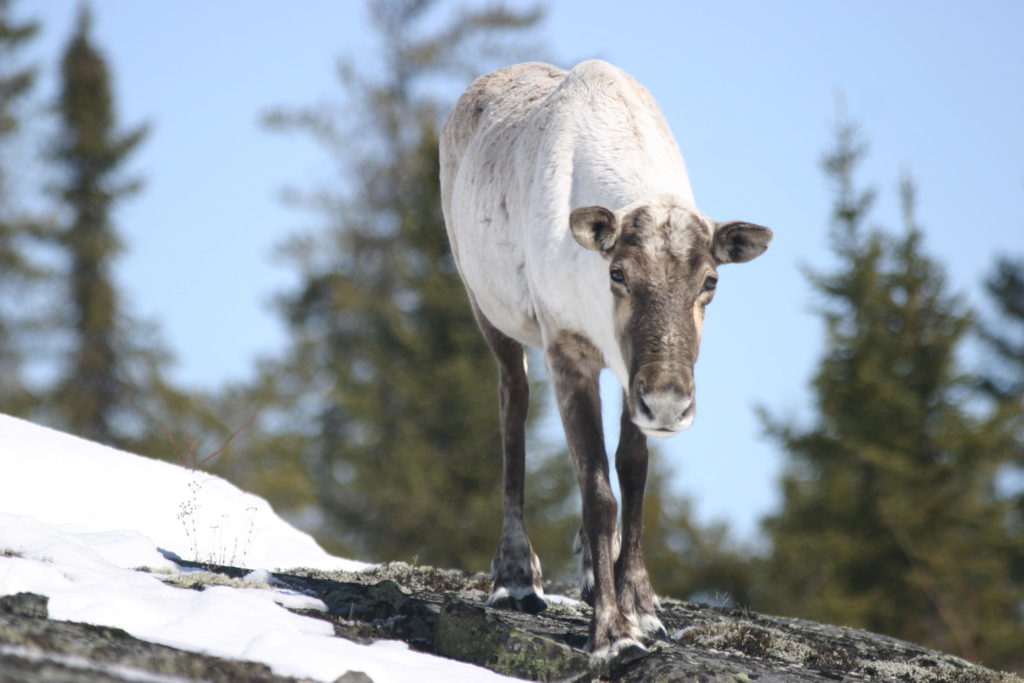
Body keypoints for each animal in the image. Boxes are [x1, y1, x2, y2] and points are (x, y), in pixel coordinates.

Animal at [439, 60, 772, 658]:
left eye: (710, 280)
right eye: (618, 271)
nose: (670, 405)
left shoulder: (629, 377)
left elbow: (633, 472)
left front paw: (639, 606)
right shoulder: (567, 350)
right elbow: (598, 491)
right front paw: (611, 634)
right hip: (485, 305)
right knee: (512, 405)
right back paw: (515, 577)